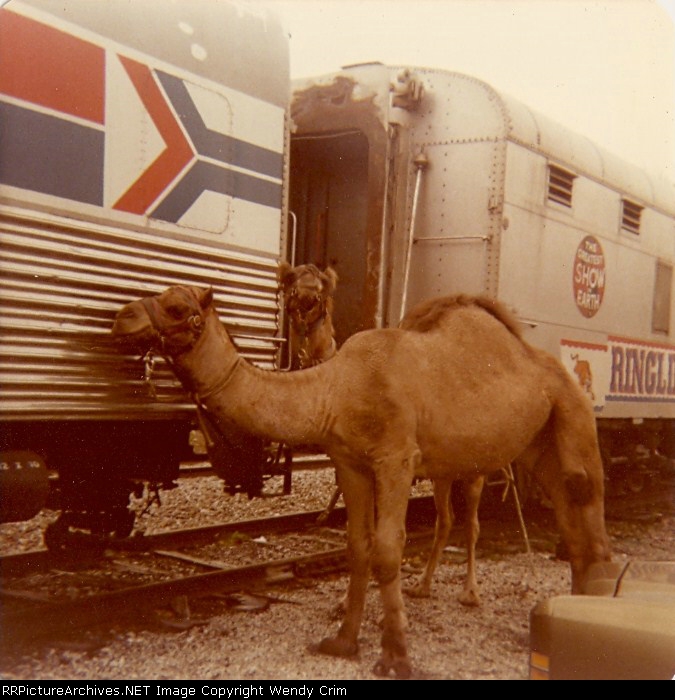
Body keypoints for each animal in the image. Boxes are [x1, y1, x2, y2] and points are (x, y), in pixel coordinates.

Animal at [111, 285, 611, 679]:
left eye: (177, 306)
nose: (121, 316)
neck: (335, 389)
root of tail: (556, 365)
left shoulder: (395, 459)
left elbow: (388, 550)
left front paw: (395, 656)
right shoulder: (349, 463)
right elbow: (357, 548)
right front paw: (343, 641)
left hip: (571, 417)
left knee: (584, 505)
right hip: (531, 446)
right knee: (564, 519)